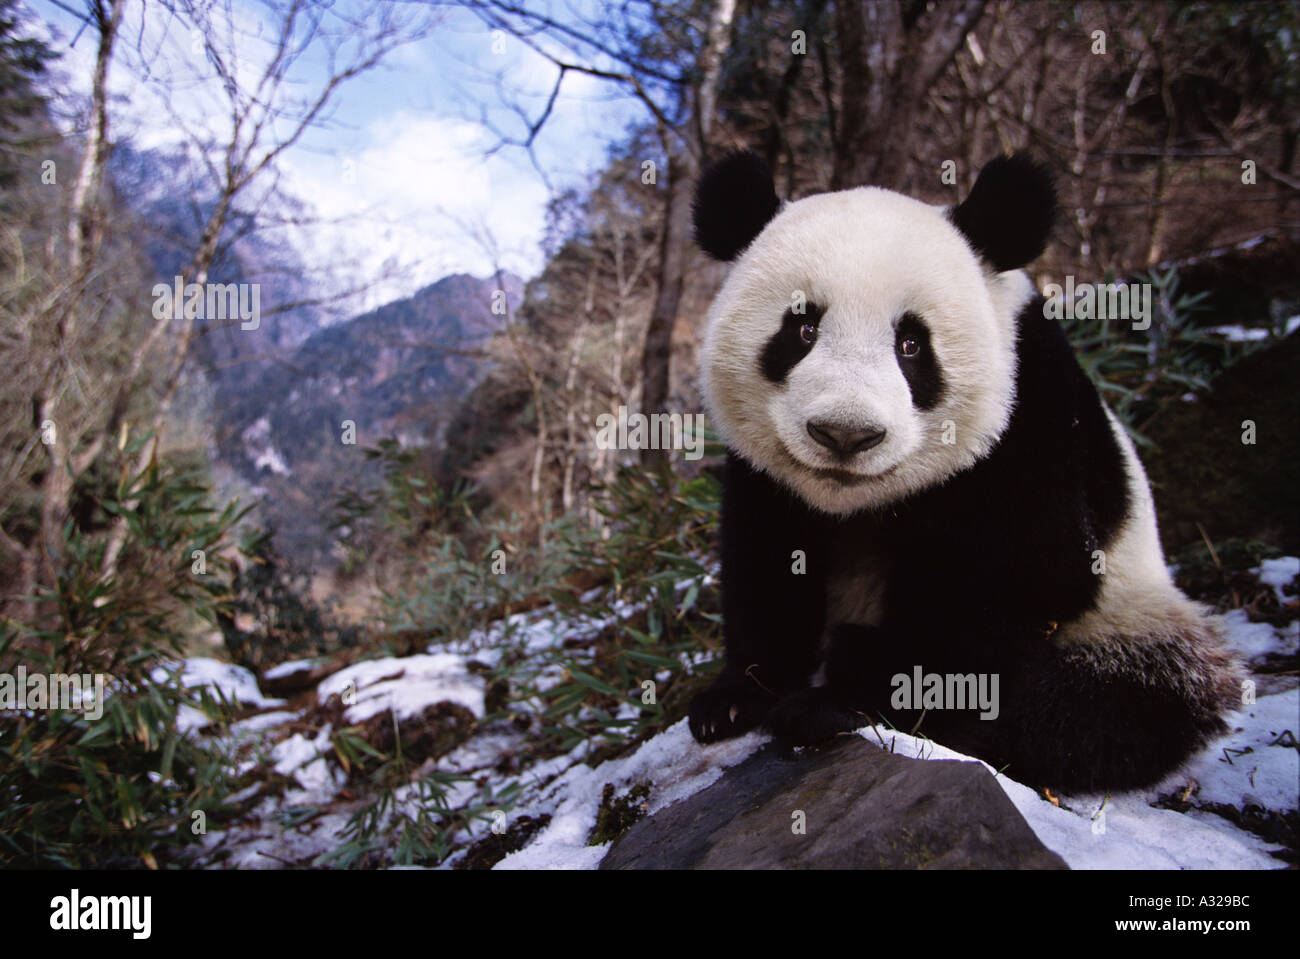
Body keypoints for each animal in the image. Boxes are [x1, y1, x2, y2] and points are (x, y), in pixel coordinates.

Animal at [686, 150, 1242, 792]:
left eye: (911, 344)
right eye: (801, 329)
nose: (846, 434)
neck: (856, 501)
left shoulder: (1029, 420)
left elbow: (1019, 579)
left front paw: (841, 700)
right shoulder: (765, 477)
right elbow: (766, 557)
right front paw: (735, 699)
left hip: (1131, 620)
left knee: (1113, 706)